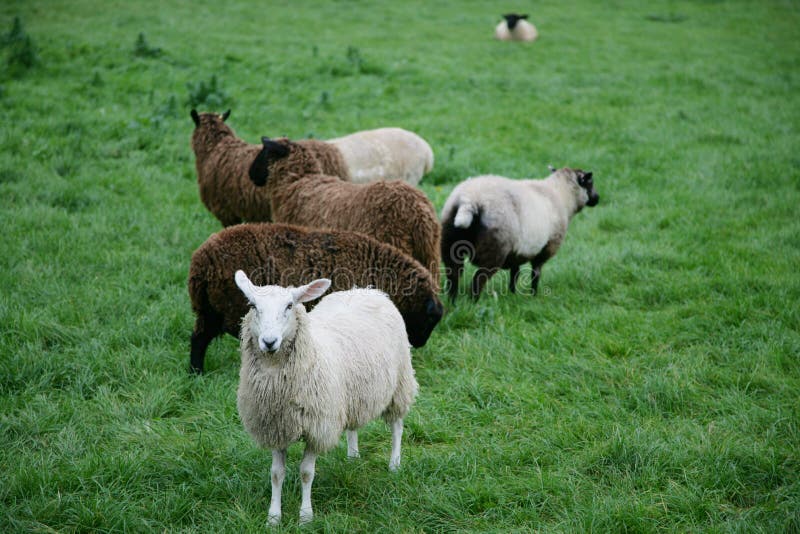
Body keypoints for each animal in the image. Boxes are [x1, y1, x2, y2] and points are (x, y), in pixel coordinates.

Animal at [188, 222, 443, 373]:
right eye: (430, 319)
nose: (418, 344)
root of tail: (201, 262)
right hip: (227, 310)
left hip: (209, 310)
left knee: (198, 337)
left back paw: (195, 373)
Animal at [234, 271, 418, 524]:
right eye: (253, 306)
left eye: (289, 305)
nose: (269, 342)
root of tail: (366, 290)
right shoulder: (276, 426)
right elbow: (276, 474)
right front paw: (273, 517)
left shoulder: (317, 426)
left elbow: (306, 473)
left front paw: (305, 516)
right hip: (350, 394)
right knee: (353, 426)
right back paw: (353, 457)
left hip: (399, 385)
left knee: (397, 427)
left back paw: (394, 464)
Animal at [440, 166, 599, 301]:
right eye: (590, 183)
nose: (597, 198)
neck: (561, 195)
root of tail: (470, 200)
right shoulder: (546, 249)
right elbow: (535, 274)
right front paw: (533, 296)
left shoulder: (516, 253)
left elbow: (515, 273)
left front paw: (512, 294)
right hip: (495, 248)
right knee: (478, 279)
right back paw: (473, 303)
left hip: (449, 243)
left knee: (453, 275)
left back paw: (452, 301)